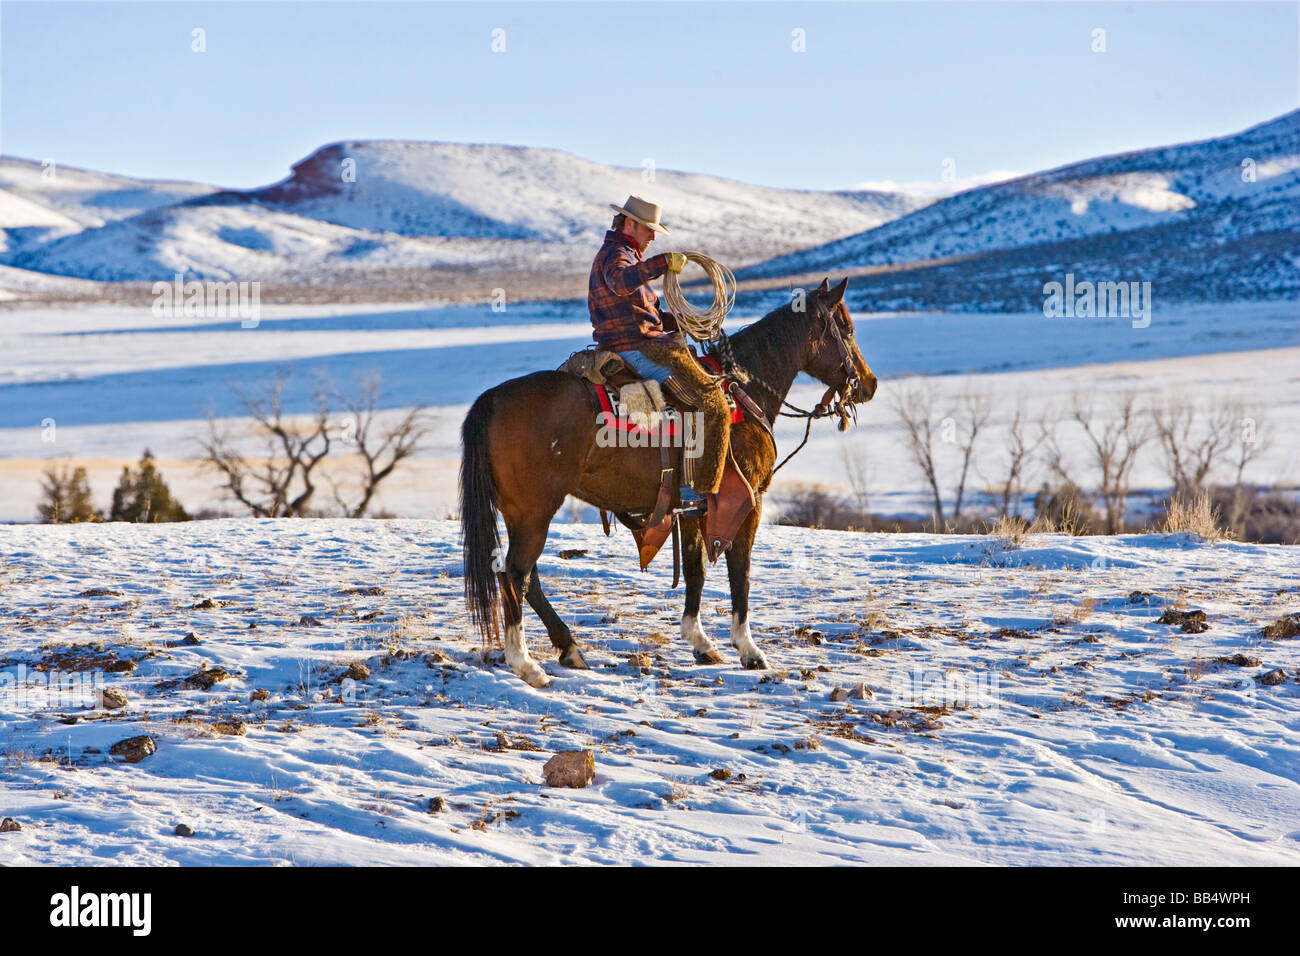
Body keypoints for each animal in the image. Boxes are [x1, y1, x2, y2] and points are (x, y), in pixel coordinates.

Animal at [460, 276, 877, 687]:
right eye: (847, 328)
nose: (868, 384)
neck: (744, 392)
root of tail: (494, 398)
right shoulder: (748, 503)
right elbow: (740, 572)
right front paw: (749, 649)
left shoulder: (691, 508)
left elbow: (696, 569)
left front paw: (700, 641)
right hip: (535, 511)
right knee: (516, 573)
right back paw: (527, 663)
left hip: (521, 513)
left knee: (526, 578)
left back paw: (570, 649)